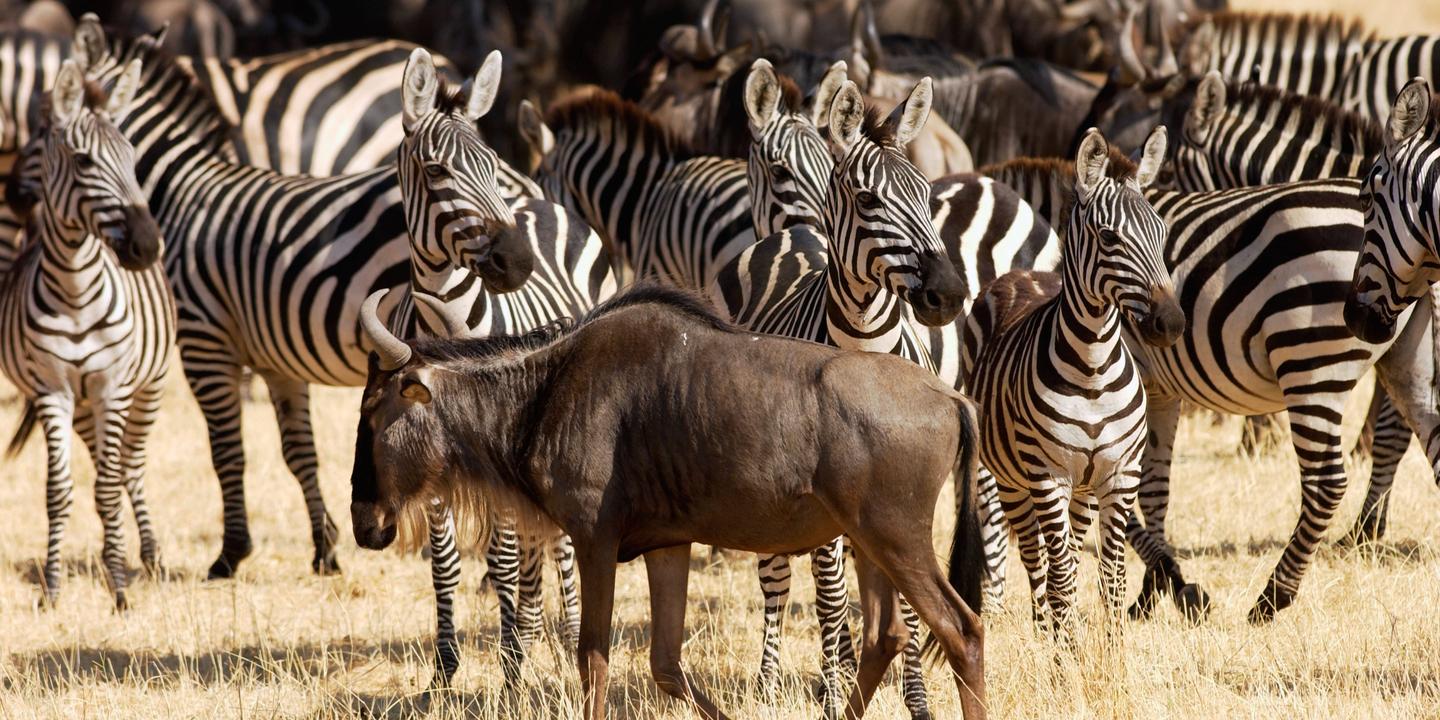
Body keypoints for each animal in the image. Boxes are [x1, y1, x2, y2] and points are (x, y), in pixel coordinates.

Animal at [0, 57, 175, 610]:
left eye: (134, 157)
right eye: (82, 162)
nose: (147, 246)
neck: (76, 293)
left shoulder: (112, 388)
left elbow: (108, 488)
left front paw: (119, 589)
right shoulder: (51, 392)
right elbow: (60, 492)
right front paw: (53, 589)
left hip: (149, 387)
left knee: (129, 469)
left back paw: (148, 557)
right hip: (80, 407)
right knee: (107, 462)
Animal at [961, 127, 1179, 645]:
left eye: (1162, 234)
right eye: (1109, 237)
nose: (1172, 322)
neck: (1093, 372)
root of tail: (1020, 273)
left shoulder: (1120, 475)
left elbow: (1112, 575)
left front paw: (1112, 651)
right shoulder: (1048, 475)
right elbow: (1057, 573)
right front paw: (1065, 654)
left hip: (1083, 487)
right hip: (1011, 479)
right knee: (1037, 561)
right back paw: (1048, 633)